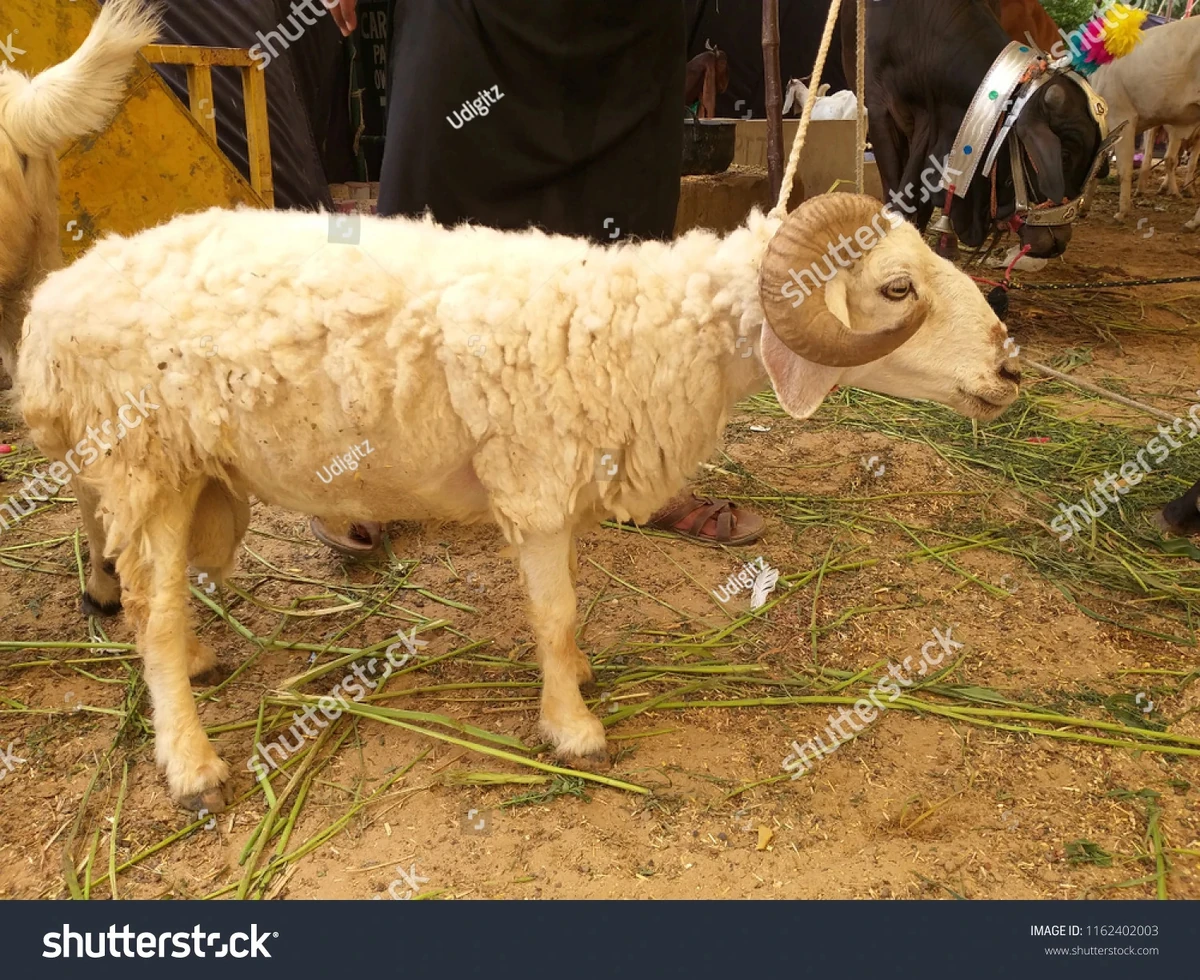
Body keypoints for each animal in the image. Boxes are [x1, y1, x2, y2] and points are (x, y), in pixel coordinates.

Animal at [17, 192, 1022, 810]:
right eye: (897, 288)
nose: (1011, 370)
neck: (647, 330)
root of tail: (49, 310)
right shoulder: (534, 484)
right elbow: (557, 611)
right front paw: (573, 728)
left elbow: (566, 617)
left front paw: (576, 686)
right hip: (146, 454)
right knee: (151, 610)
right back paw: (190, 762)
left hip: (141, 464)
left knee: (123, 563)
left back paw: (169, 639)